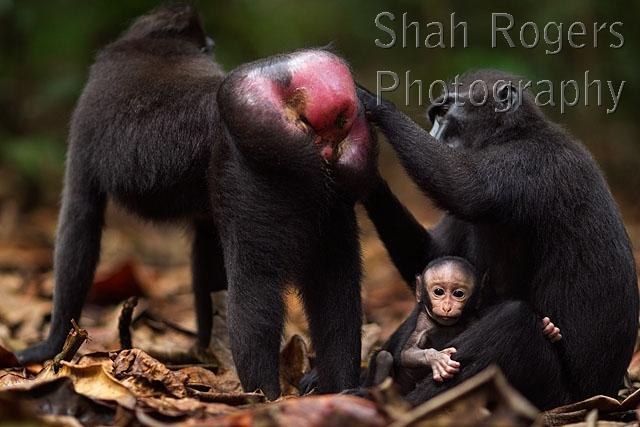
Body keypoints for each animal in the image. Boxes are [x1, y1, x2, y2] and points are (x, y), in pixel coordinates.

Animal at [16, 5, 379, 401]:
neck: (154, 45)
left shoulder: (84, 120)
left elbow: (79, 223)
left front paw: (49, 347)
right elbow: (207, 255)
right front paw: (205, 351)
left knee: (253, 289)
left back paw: (262, 397)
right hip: (328, 193)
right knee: (337, 286)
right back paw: (341, 388)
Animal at [355, 70, 638, 409]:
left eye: (444, 112)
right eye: (435, 116)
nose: (435, 135)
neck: (513, 134)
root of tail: (605, 393)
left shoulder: (528, 163)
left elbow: (465, 188)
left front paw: (372, 102)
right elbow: (435, 260)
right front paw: (365, 177)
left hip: (555, 395)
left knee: (513, 323)